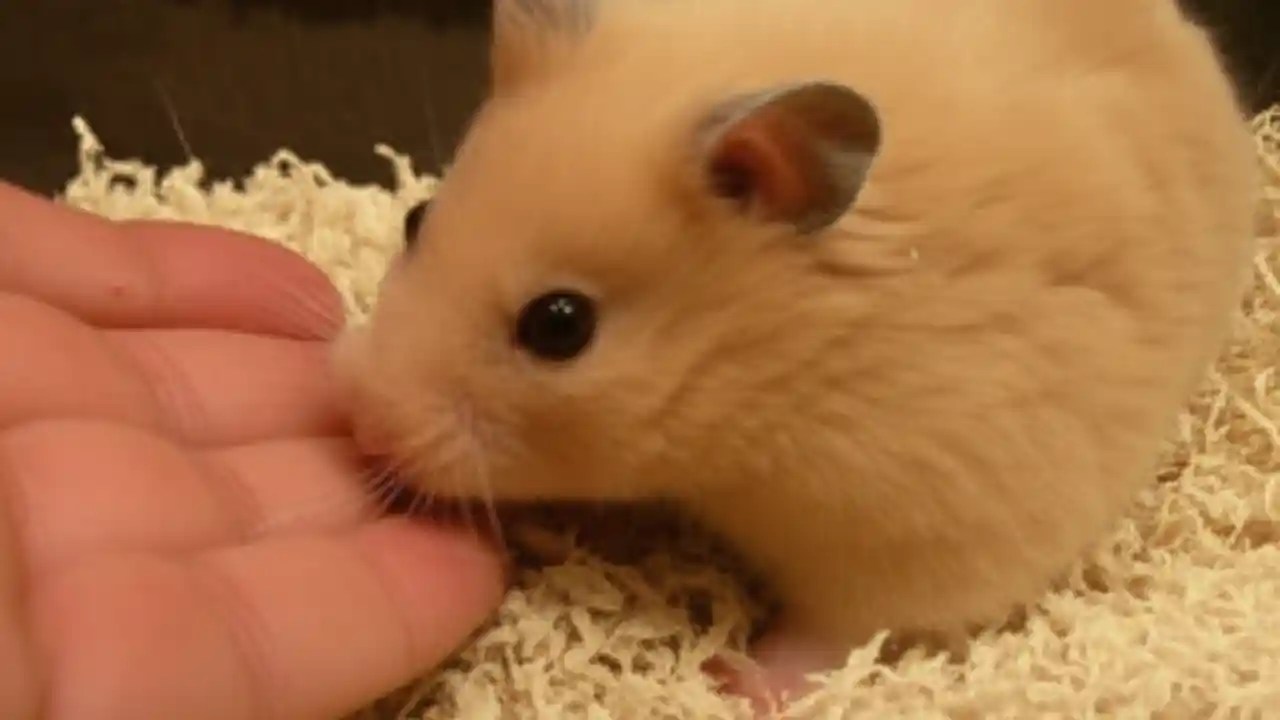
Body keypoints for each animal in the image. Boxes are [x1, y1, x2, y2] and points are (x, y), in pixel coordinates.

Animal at [335, 0, 1260, 704]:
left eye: (559, 324)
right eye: (416, 217)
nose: (362, 424)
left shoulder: (924, 526)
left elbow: (831, 630)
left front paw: (732, 677)